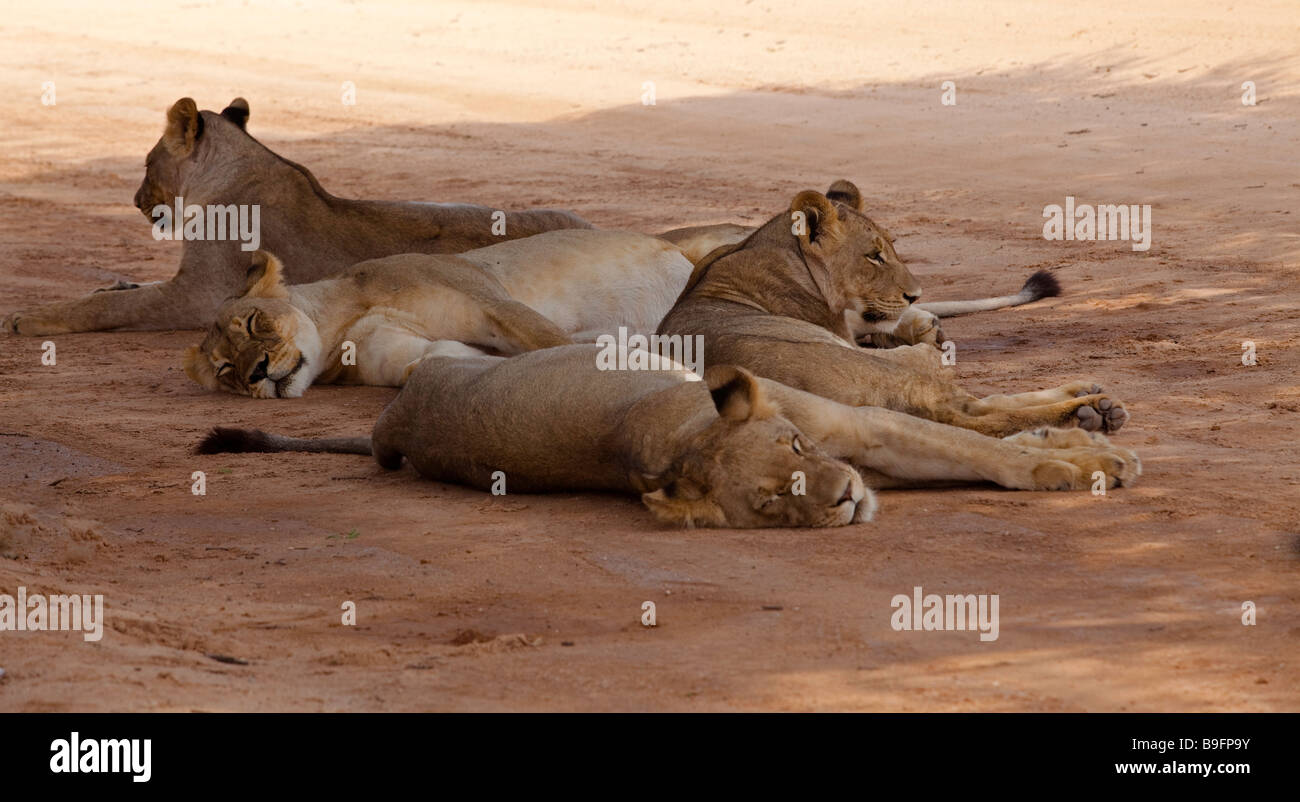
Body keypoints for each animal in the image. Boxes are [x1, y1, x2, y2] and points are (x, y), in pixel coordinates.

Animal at [3, 97, 591, 336]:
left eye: (147, 163)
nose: (134, 200)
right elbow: (123, 292)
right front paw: (112, 284)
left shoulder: (199, 296)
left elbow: (106, 309)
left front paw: (27, 319)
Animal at [184, 230, 693, 398]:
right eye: (225, 369)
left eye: (254, 322)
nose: (256, 373)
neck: (341, 326)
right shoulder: (402, 350)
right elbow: (424, 364)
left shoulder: (495, 302)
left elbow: (555, 343)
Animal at [655, 179, 1135, 443]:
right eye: (873, 255)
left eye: (893, 248)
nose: (915, 296)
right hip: (881, 368)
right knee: (967, 410)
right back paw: (1089, 412)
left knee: (976, 405)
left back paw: (1088, 398)